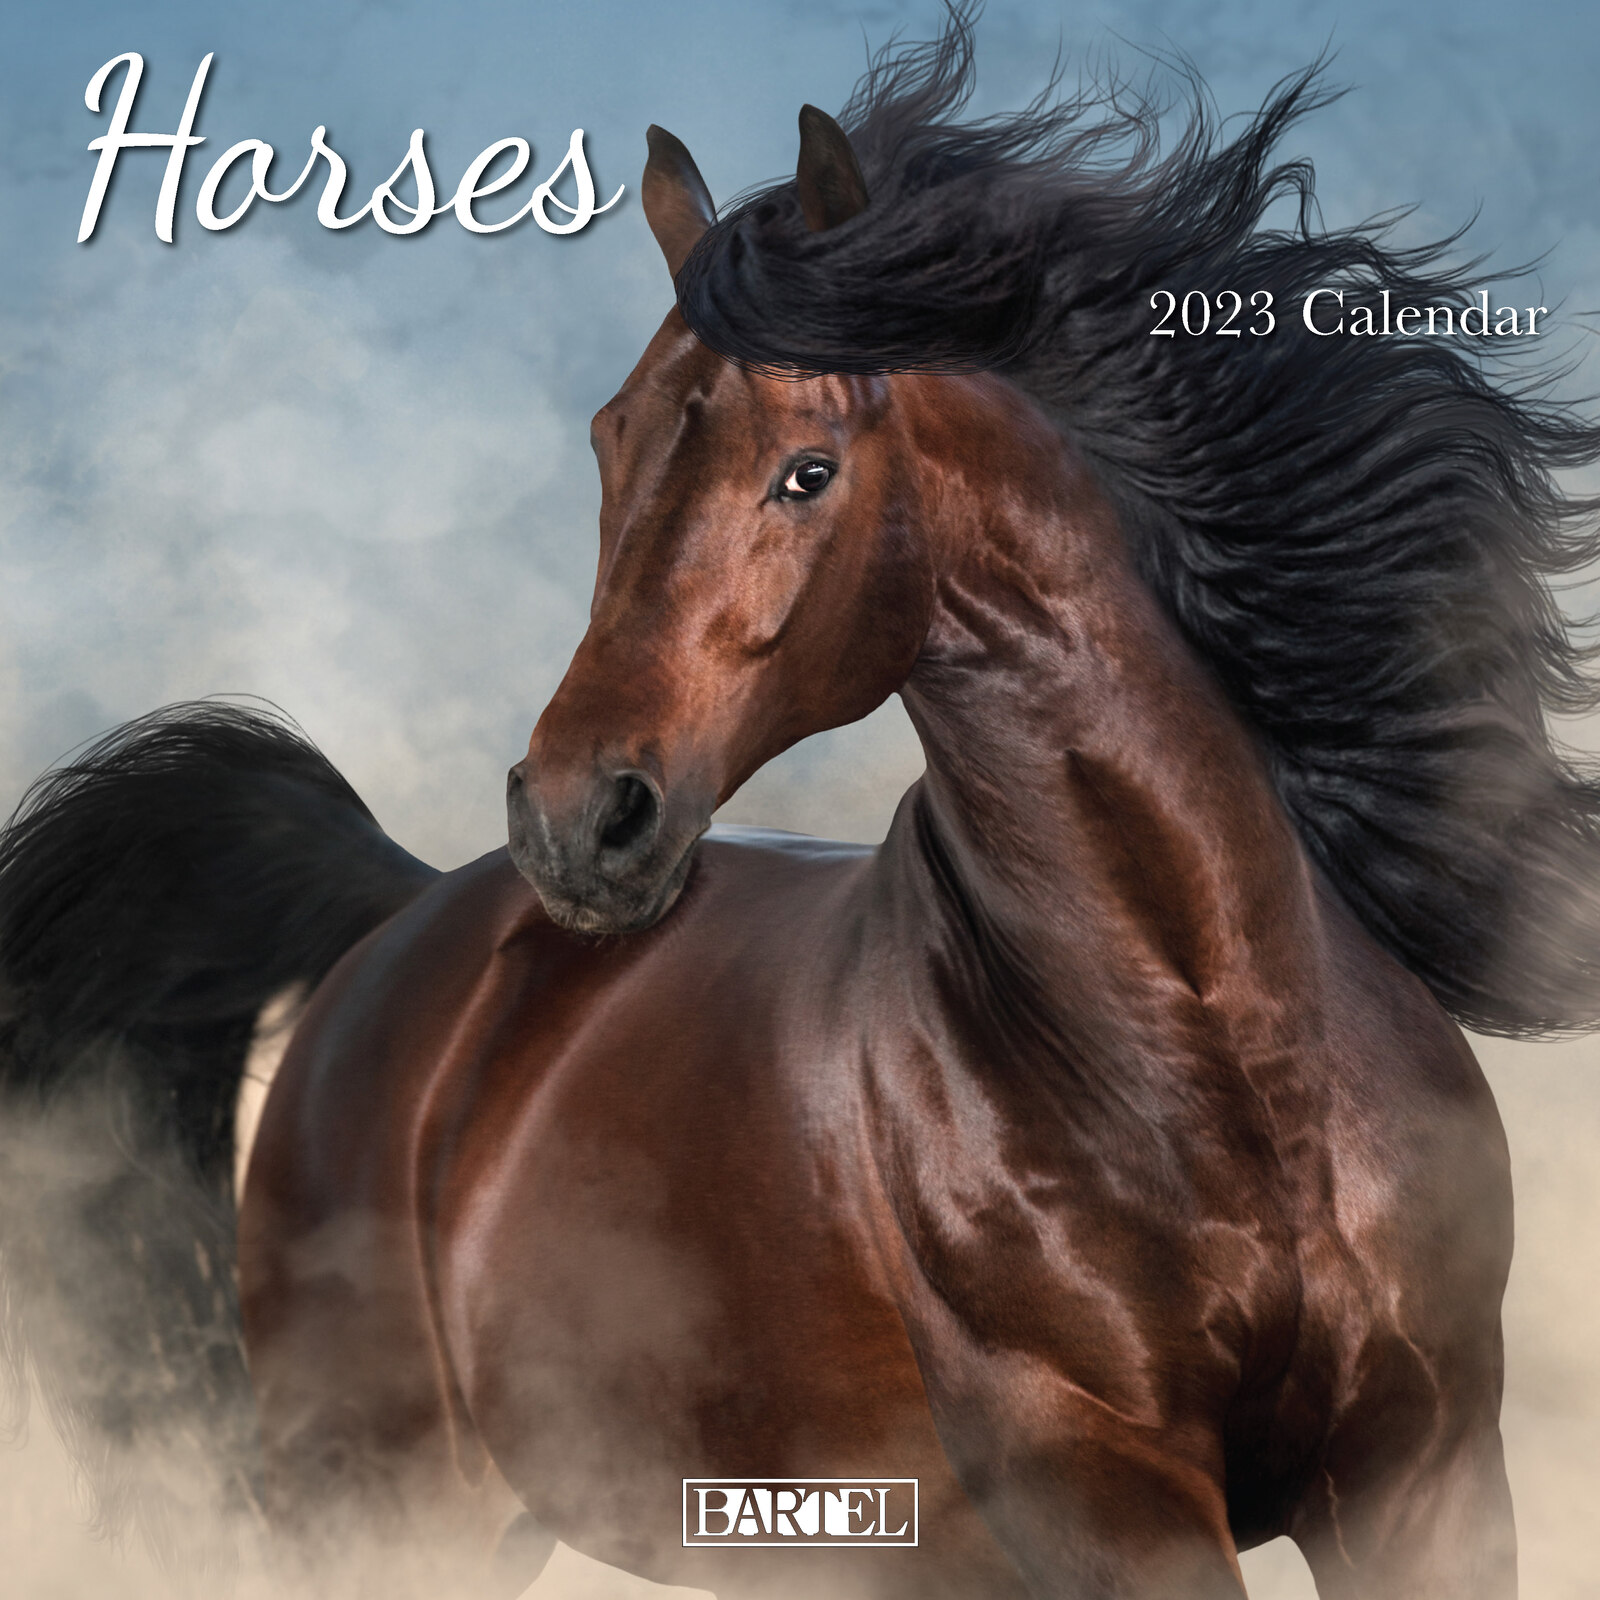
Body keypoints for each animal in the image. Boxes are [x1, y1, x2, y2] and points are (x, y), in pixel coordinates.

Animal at [4, 13, 1600, 1599]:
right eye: (612, 437)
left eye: (807, 471)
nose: (577, 819)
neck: (1220, 1068)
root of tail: (402, 919)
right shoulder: (1106, 1490)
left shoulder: (1426, 1474)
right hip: (389, 1505)